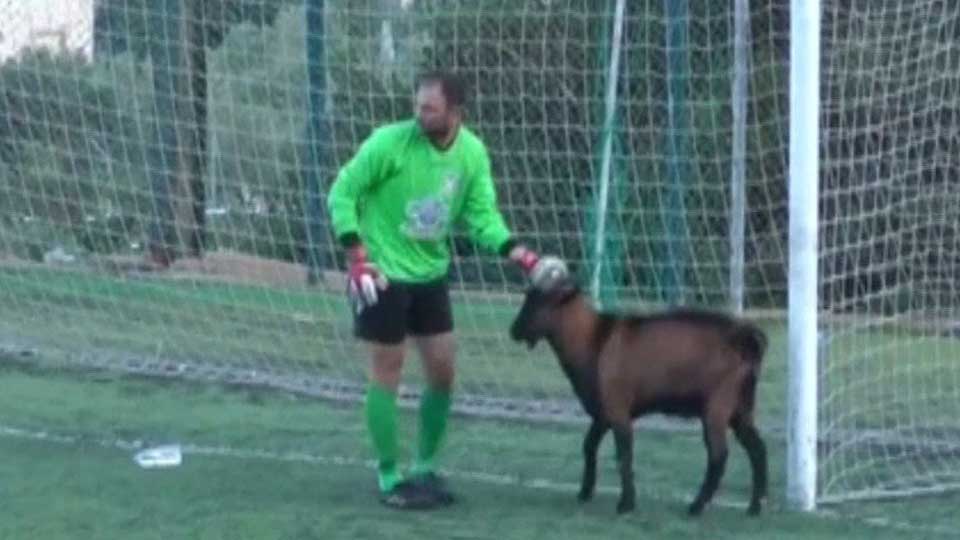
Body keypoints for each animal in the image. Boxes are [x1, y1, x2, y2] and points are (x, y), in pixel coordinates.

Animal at [509, 279, 768, 516]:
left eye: (540, 302)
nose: (514, 330)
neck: (593, 340)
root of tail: (747, 338)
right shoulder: (602, 413)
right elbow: (589, 446)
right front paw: (585, 491)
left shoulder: (617, 409)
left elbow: (624, 455)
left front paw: (626, 504)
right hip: (741, 408)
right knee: (757, 448)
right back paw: (755, 505)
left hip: (717, 406)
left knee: (718, 456)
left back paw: (697, 506)